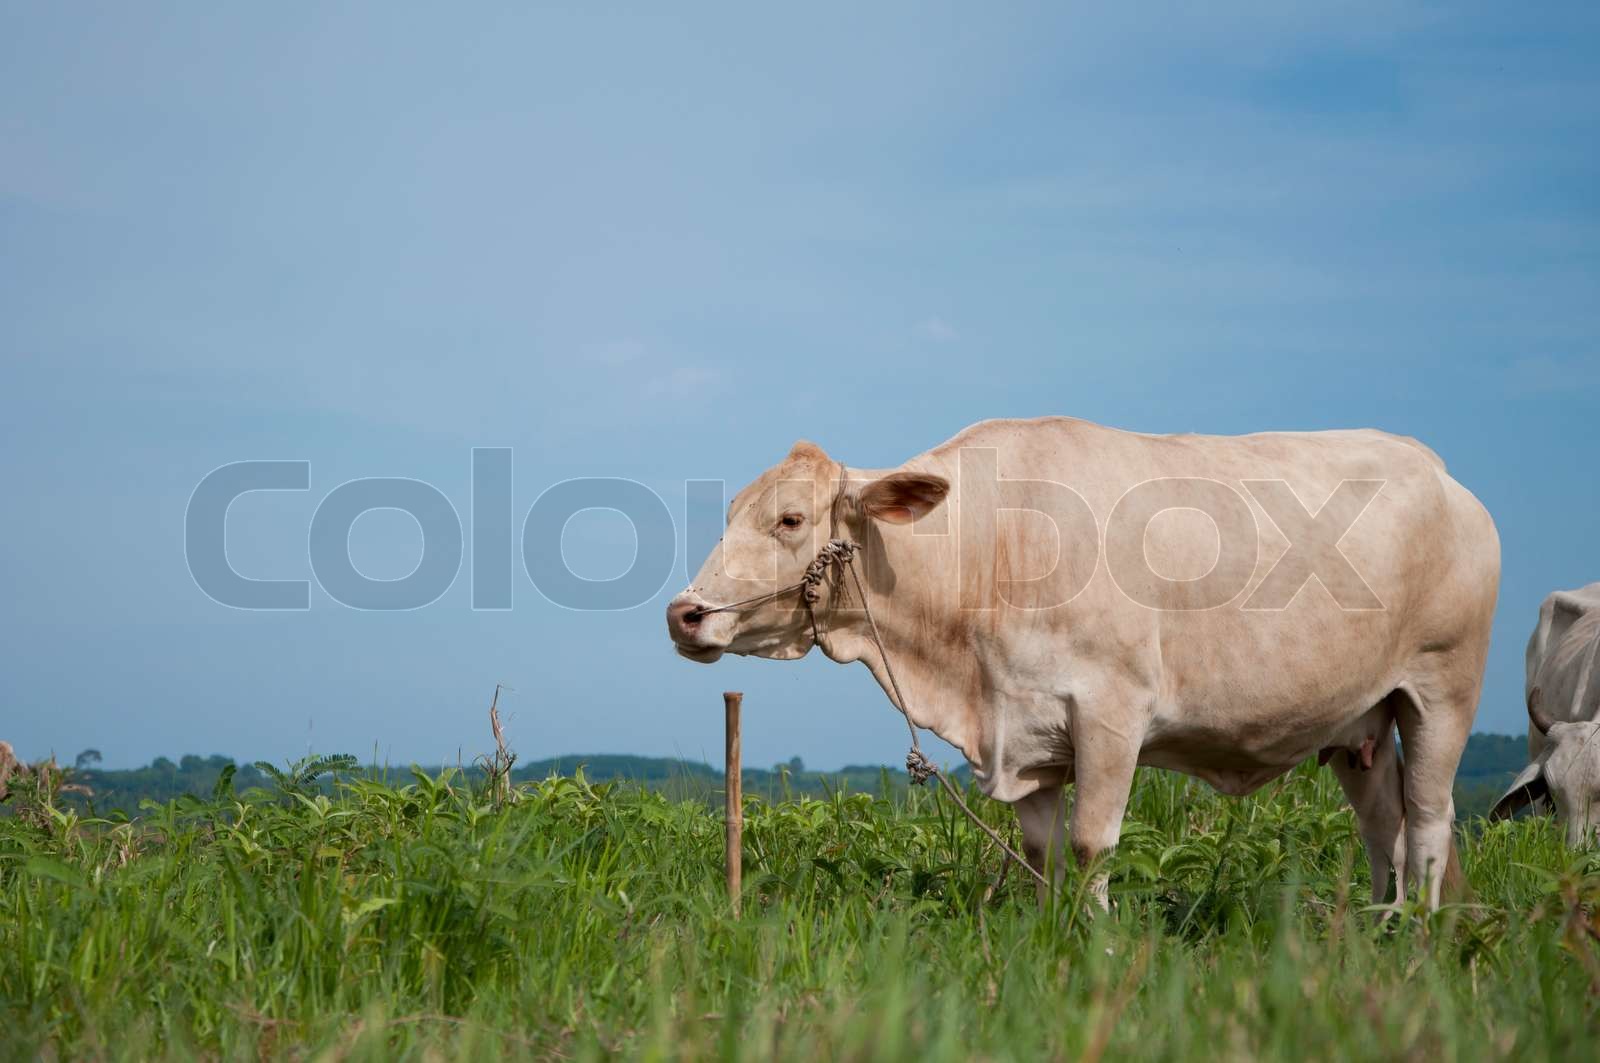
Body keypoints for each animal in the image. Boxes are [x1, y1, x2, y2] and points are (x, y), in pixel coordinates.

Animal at [666, 417, 1499, 909]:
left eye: (790, 518)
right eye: (731, 510)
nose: (684, 613)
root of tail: (1436, 470)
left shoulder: (1110, 712)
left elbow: (1093, 842)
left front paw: (1093, 947)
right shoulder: (1027, 737)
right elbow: (1041, 850)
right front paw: (1046, 936)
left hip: (1440, 693)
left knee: (1429, 823)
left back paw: (1418, 940)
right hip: (1362, 722)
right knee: (1385, 824)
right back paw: (1379, 925)